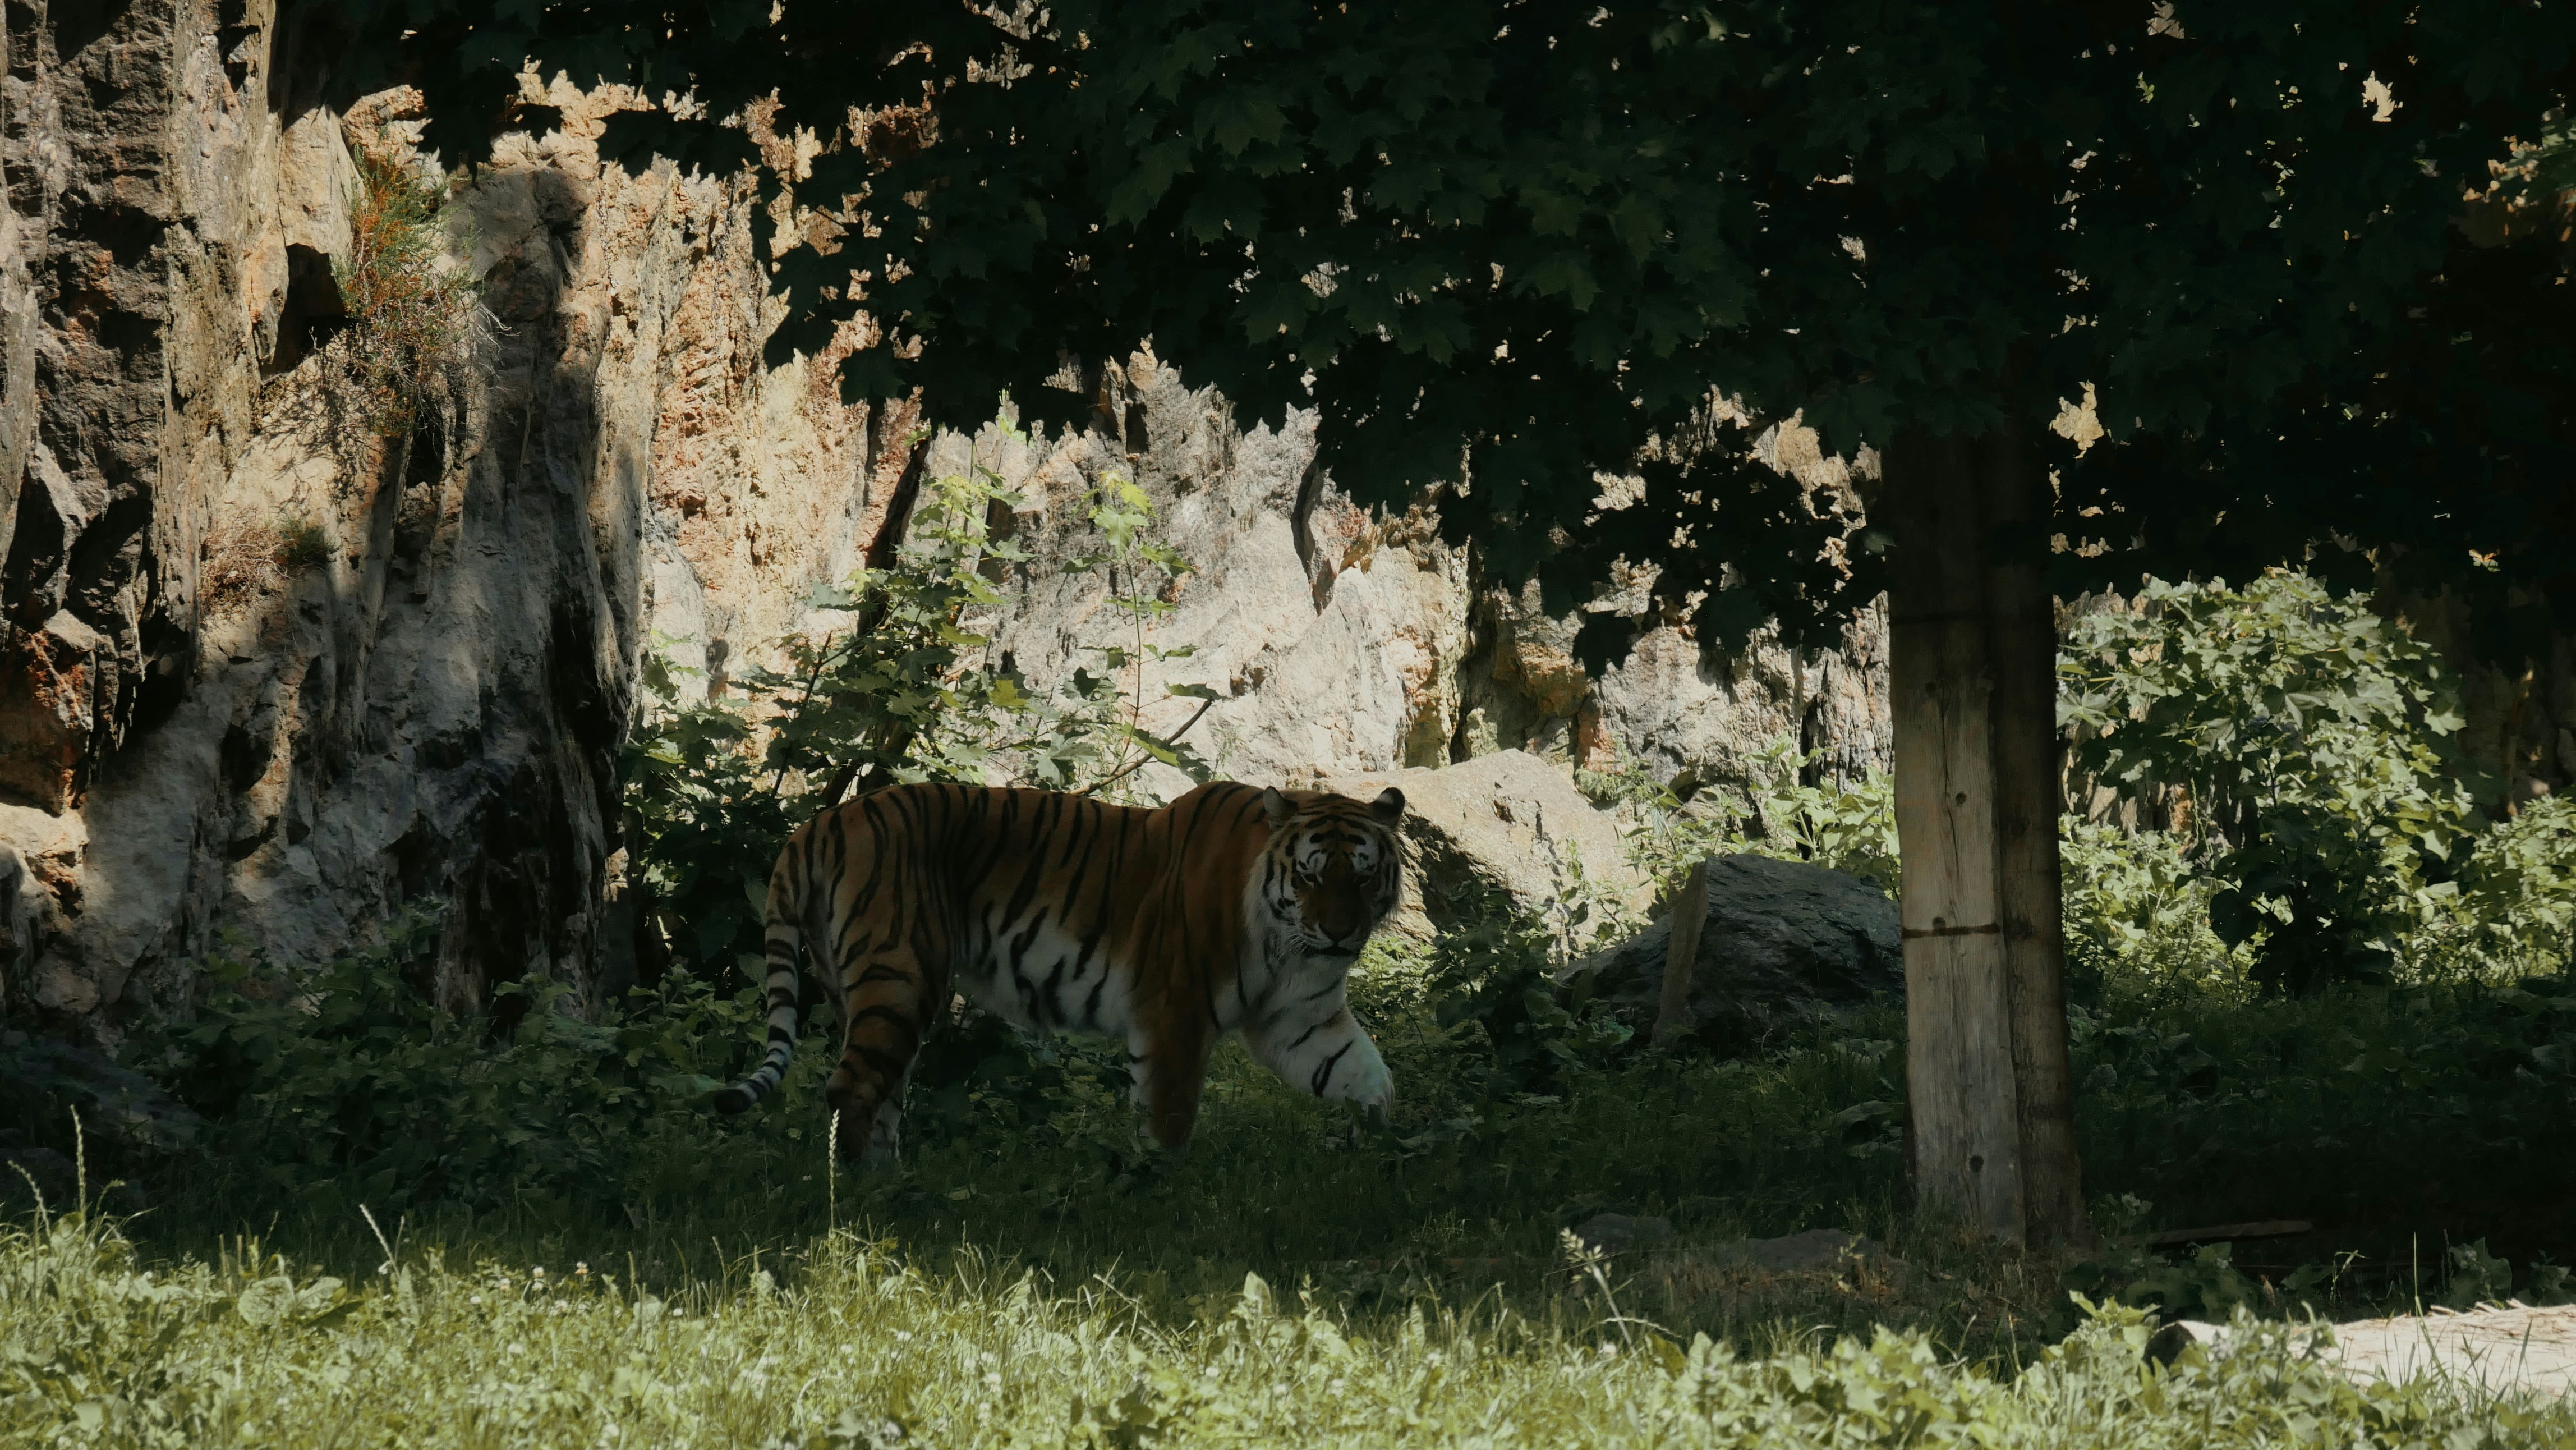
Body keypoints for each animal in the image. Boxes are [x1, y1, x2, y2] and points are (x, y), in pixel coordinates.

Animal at [712, 779, 1408, 1162]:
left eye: (1362, 875)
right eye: (1311, 876)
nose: (1340, 932)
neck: (1286, 942)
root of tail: (823, 821)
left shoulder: (1300, 1018)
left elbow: (1368, 1078)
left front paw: (1379, 1149)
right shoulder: (1174, 1012)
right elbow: (1169, 1117)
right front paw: (1164, 1188)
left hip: (867, 990)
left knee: (880, 1092)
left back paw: (892, 1189)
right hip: (901, 975)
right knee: (851, 1088)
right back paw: (860, 1208)